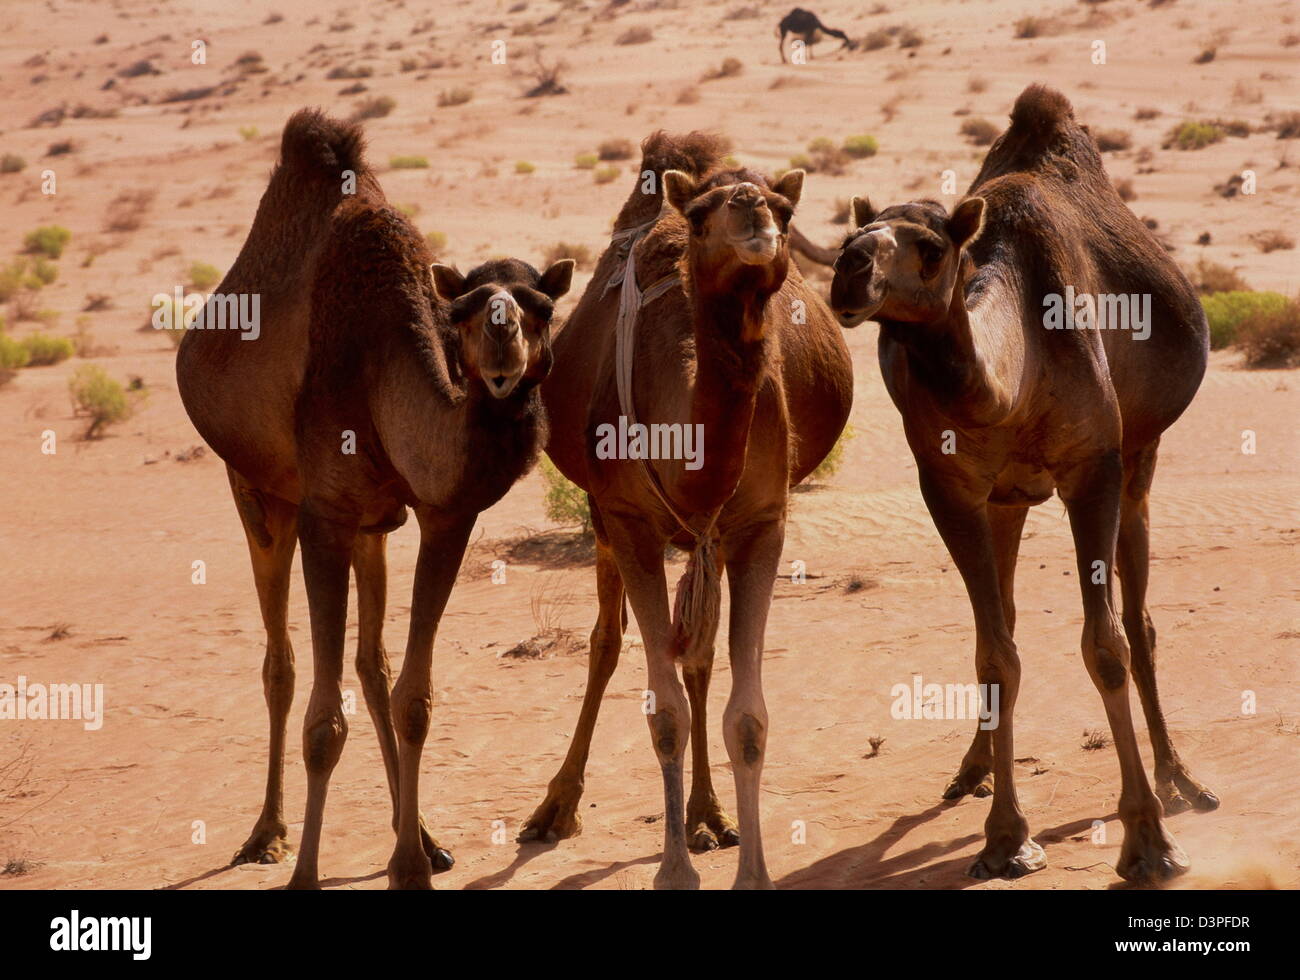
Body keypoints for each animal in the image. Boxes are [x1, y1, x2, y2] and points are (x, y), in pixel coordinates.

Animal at [175, 109, 572, 889]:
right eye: (467, 307)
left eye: (543, 305)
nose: (504, 339)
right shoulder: (323, 515)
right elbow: (324, 722)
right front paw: (306, 875)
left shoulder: (444, 515)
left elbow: (411, 696)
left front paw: (412, 863)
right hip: (257, 491)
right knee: (281, 664)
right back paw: (265, 833)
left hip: (373, 526)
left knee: (372, 662)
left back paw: (420, 835)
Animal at [517, 132, 853, 889]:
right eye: (700, 215)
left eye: (786, 208)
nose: (752, 206)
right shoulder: (629, 521)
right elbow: (662, 708)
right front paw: (673, 871)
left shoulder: (759, 523)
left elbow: (747, 716)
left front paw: (752, 870)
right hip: (605, 520)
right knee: (607, 645)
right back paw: (555, 808)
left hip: (708, 538)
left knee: (695, 656)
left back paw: (707, 814)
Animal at [829, 85, 1217, 883]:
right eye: (859, 229)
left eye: (931, 247)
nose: (849, 267)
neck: (1011, 381)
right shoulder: (949, 488)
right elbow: (995, 653)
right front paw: (1006, 839)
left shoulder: (1093, 468)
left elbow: (1105, 646)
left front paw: (1150, 841)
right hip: (1007, 502)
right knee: (1000, 622)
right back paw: (972, 770)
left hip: (1140, 456)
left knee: (1139, 618)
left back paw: (1180, 780)